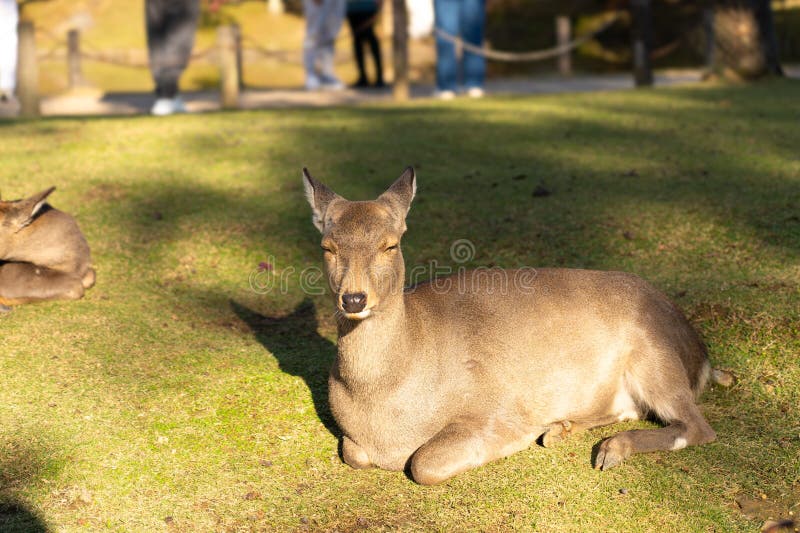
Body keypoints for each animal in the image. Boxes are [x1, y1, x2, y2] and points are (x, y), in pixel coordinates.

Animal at [302, 166, 725, 485]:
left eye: (390, 245)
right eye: (327, 247)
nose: (354, 299)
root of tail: (701, 354)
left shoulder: (494, 410)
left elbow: (424, 463)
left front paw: (523, 437)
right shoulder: (354, 441)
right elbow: (351, 452)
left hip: (655, 356)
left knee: (697, 426)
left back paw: (608, 448)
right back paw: (562, 429)